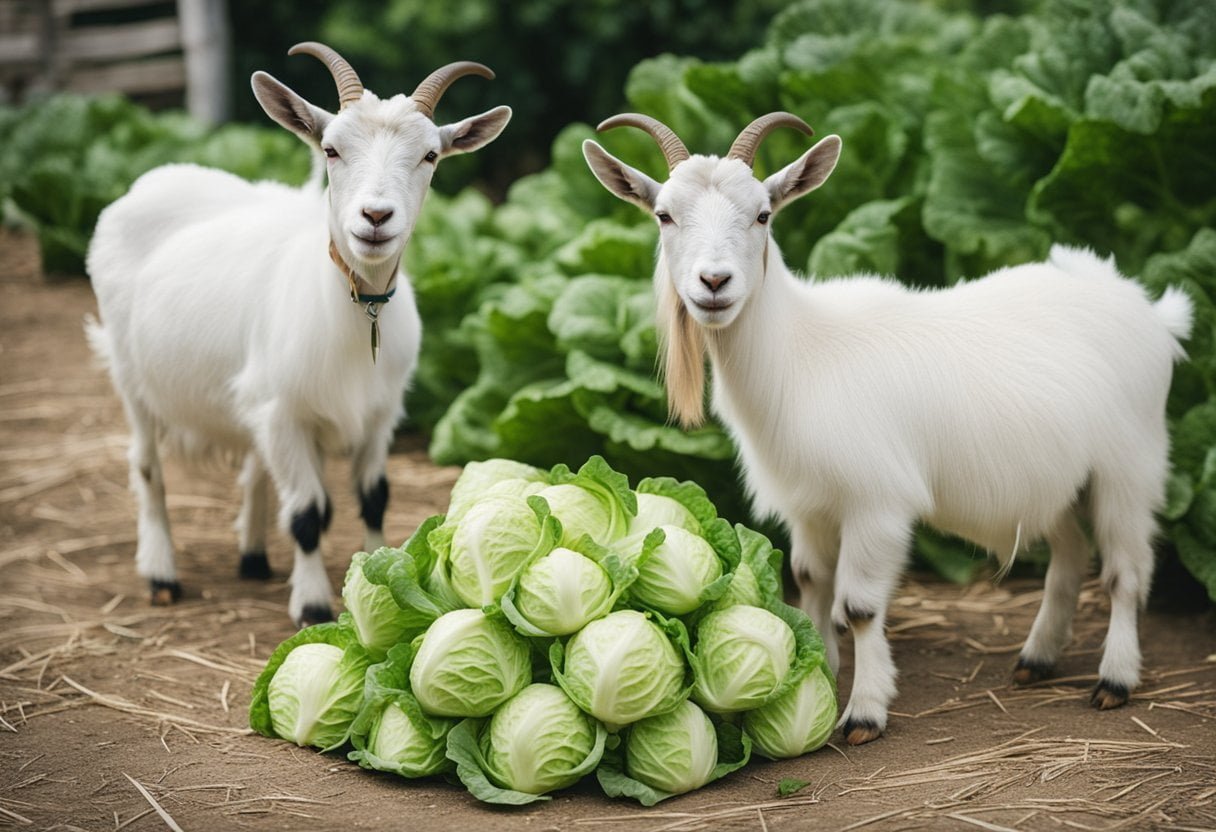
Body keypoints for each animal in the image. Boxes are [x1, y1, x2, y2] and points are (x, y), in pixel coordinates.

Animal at [86, 43, 511, 626]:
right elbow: (309, 514)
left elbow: (373, 498)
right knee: (147, 467)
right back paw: (161, 574)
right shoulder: (285, 413)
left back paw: (253, 556)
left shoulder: (378, 414)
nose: (375, 216)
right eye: (331, 149)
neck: (358, 316)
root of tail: (156, 178)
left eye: (430, 156)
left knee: (254, 468)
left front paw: (376, 585)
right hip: (133, 375)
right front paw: (312, 605)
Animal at [583, 112, 1192, 744]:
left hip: (1130, 466)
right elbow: (810, 582)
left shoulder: (876, 503)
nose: (714, 282)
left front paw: (864, 712)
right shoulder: (809, 505)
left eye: (763, 214)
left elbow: (857, 607)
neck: (800, 353)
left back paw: (1114, 680)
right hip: (1056, 480)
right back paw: (1037, 659)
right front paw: (820, 676)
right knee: (1070, 558)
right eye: (663, 215)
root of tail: (1151, 311)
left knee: (1126, 571)